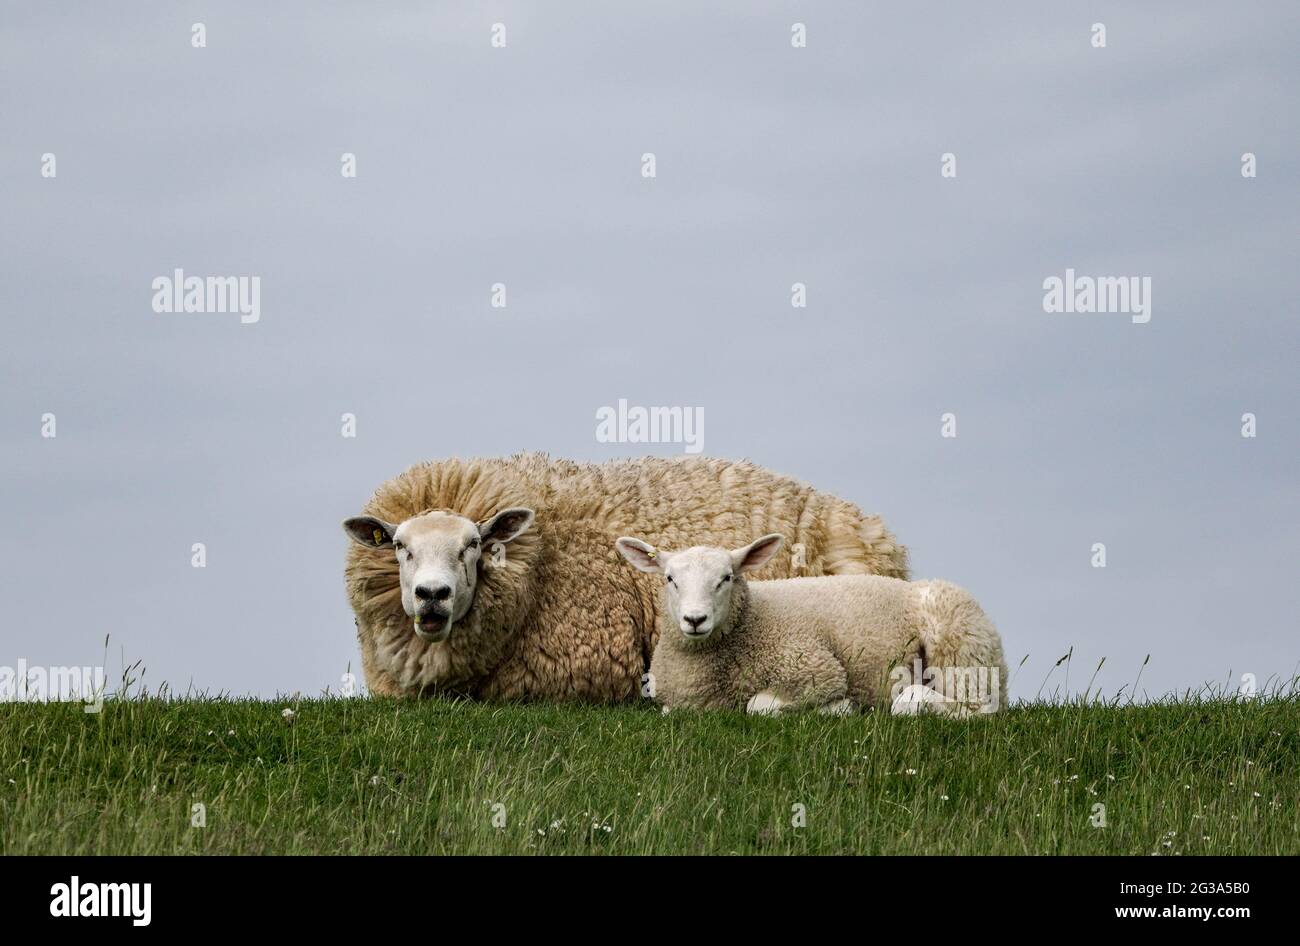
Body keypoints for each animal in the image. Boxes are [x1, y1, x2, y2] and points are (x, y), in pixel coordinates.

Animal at [614, 533, 1007, 716]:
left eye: (727, 578)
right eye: (669, 579)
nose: (695, 620)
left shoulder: (817, 670)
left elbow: (759, 707)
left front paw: (841, 708)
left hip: (961, 651)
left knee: (979, 708)